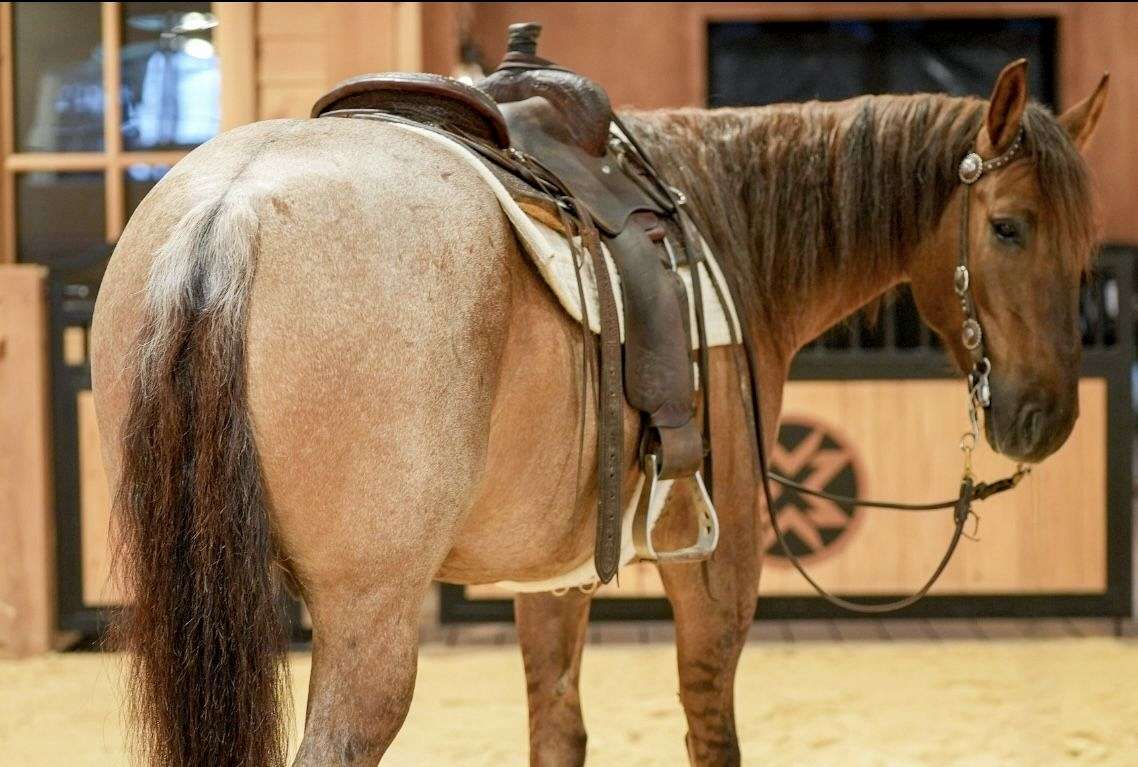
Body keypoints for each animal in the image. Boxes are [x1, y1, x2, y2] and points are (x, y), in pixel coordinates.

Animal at [90, 60, 1106, 766]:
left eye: (1087, 241)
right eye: (1008, 226)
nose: (1046, 416)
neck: (720, 219)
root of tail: (231, 212)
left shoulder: (554, 576)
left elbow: (558, 727)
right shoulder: (720, 561)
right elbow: (709, 722)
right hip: (366, 625)